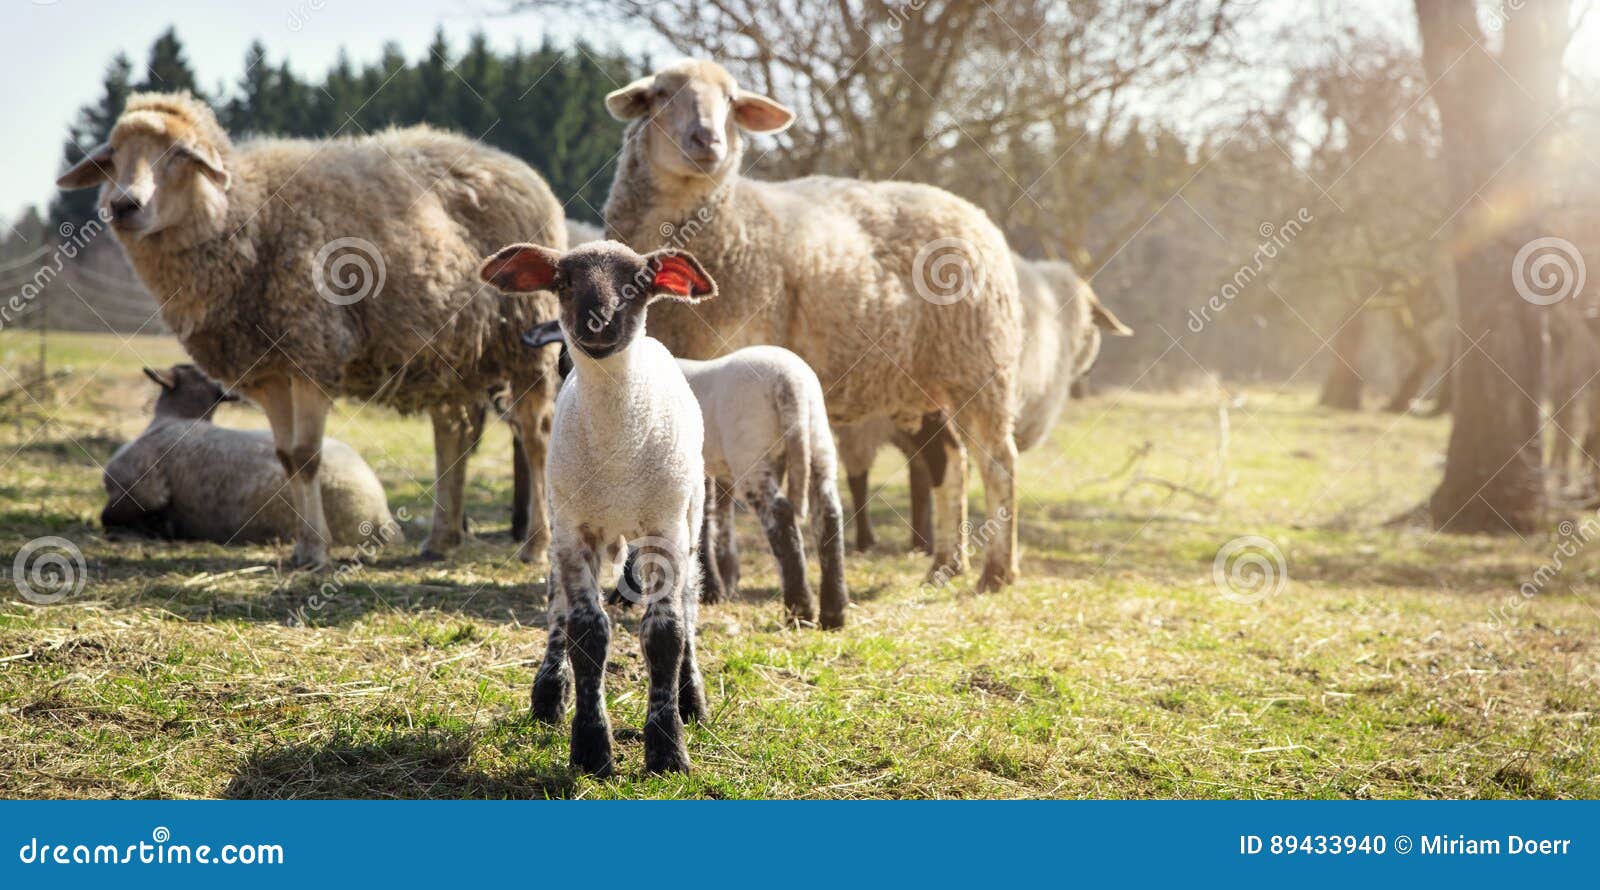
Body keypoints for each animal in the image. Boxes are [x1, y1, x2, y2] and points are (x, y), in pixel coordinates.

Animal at [480, 239, 715, 776]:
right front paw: (590, 749)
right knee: (555, 607)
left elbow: (666, 635)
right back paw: (548, 693)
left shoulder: (664, 531)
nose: (598, 323)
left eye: (640, 282)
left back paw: (691, 698)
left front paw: (668, 750)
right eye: (563, 282)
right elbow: (585, 633)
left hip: (689, 516)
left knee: (690, 601)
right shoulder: (575, 531)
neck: (617, 456)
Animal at [603, 59, 1024, 591]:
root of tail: (974, 213)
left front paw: (722, 580)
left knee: (998, 462)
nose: (707, 140)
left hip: (979, 366)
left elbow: (718, 490)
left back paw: (996, 571)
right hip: (923, 383)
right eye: (660, 94)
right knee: (950, 461)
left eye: (732, 100)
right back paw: (945, 565)